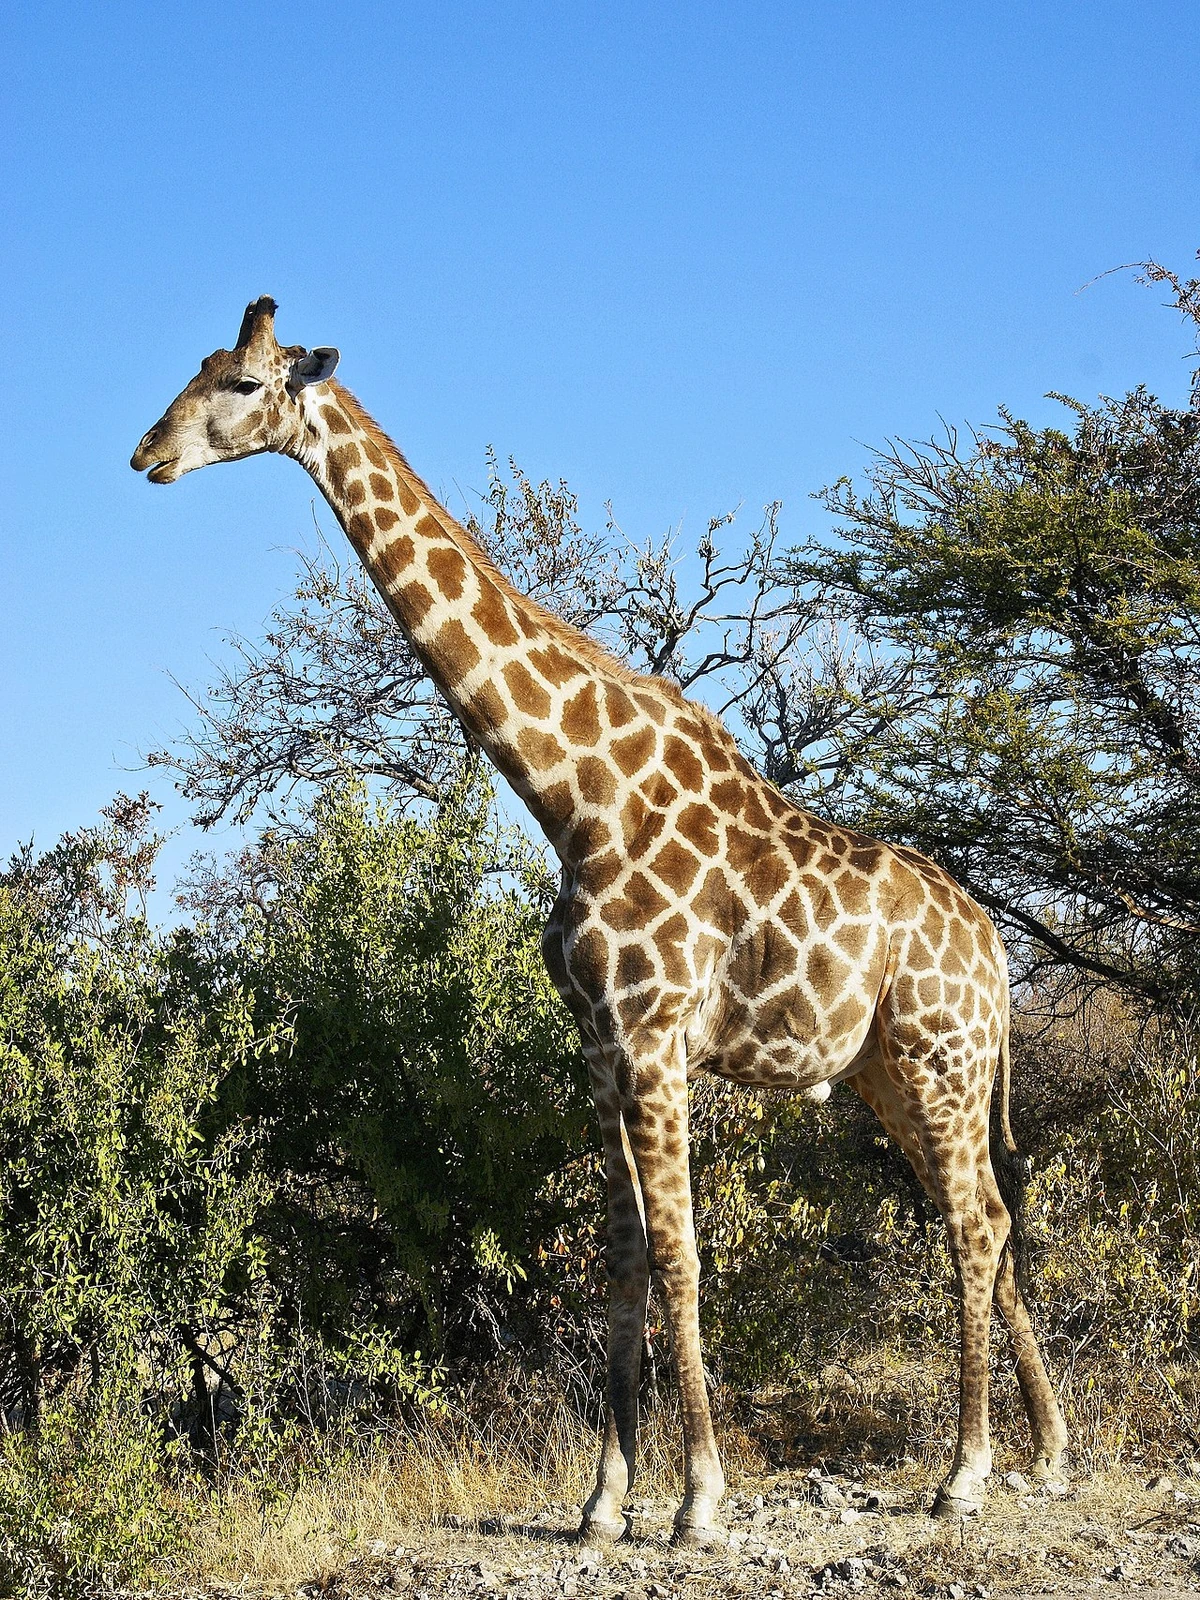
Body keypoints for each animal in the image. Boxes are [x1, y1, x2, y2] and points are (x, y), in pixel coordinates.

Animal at [131, 297, 1067, 1543]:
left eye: (239, 382)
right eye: (197, 367)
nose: (146, 455)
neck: (576, 798)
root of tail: (997, 949)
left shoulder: (658, 1037)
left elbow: (680, 1257)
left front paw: (700, 1498)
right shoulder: (598, 1046)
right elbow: (621, 1259)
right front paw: (604, 1501)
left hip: (939, 1054)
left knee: (973, 1224)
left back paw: (965, 1472)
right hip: (889, 1071)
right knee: (994, 1221)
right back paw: (1047, 1454)